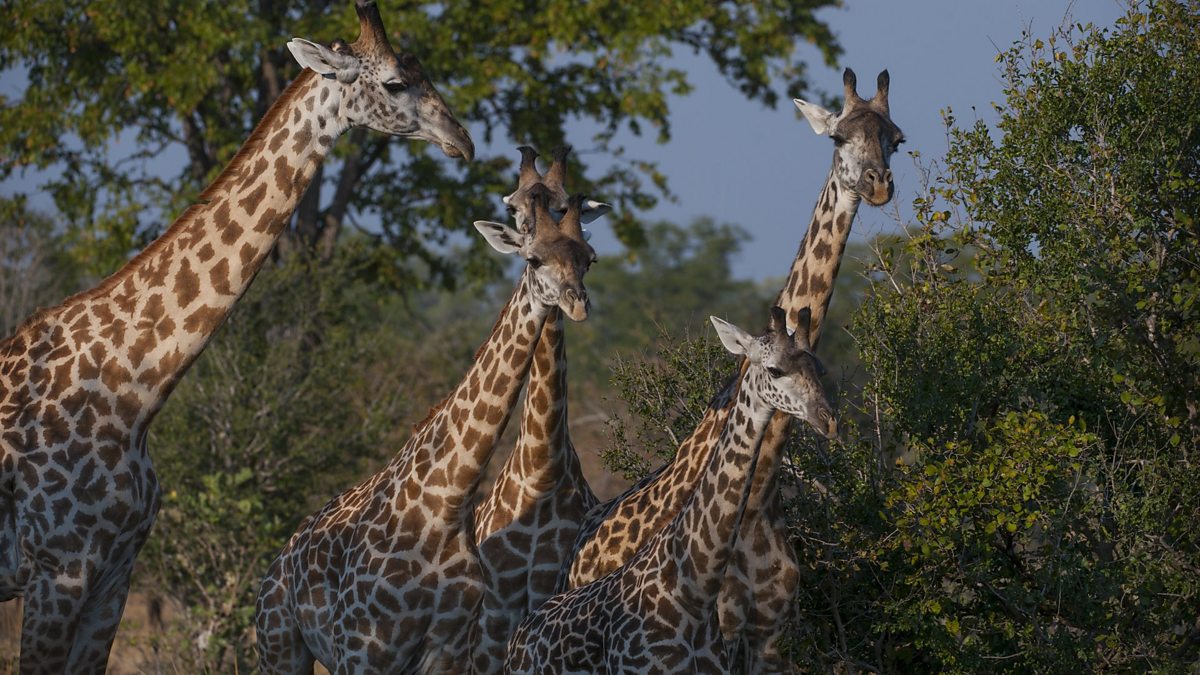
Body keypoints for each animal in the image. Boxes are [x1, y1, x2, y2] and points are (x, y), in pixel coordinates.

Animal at [253, 185, 598, 674]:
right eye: (533, 259)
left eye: (588, 257)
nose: (577, 303)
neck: (449, 500)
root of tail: (281, 558)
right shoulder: (364, 646)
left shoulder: (447, 648)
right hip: (281, 644)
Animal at [468, 145, 610, 674]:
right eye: (514, 206)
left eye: (589, 258)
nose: (576, 303)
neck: (542, 471)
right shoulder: (494, 608)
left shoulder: (547, 591)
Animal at [559, 68, 903, 671]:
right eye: (838, 138)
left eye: (897, 140)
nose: (877, 183)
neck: (763, 485)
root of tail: (581, 546)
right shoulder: (717, 630)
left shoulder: (774, 634)